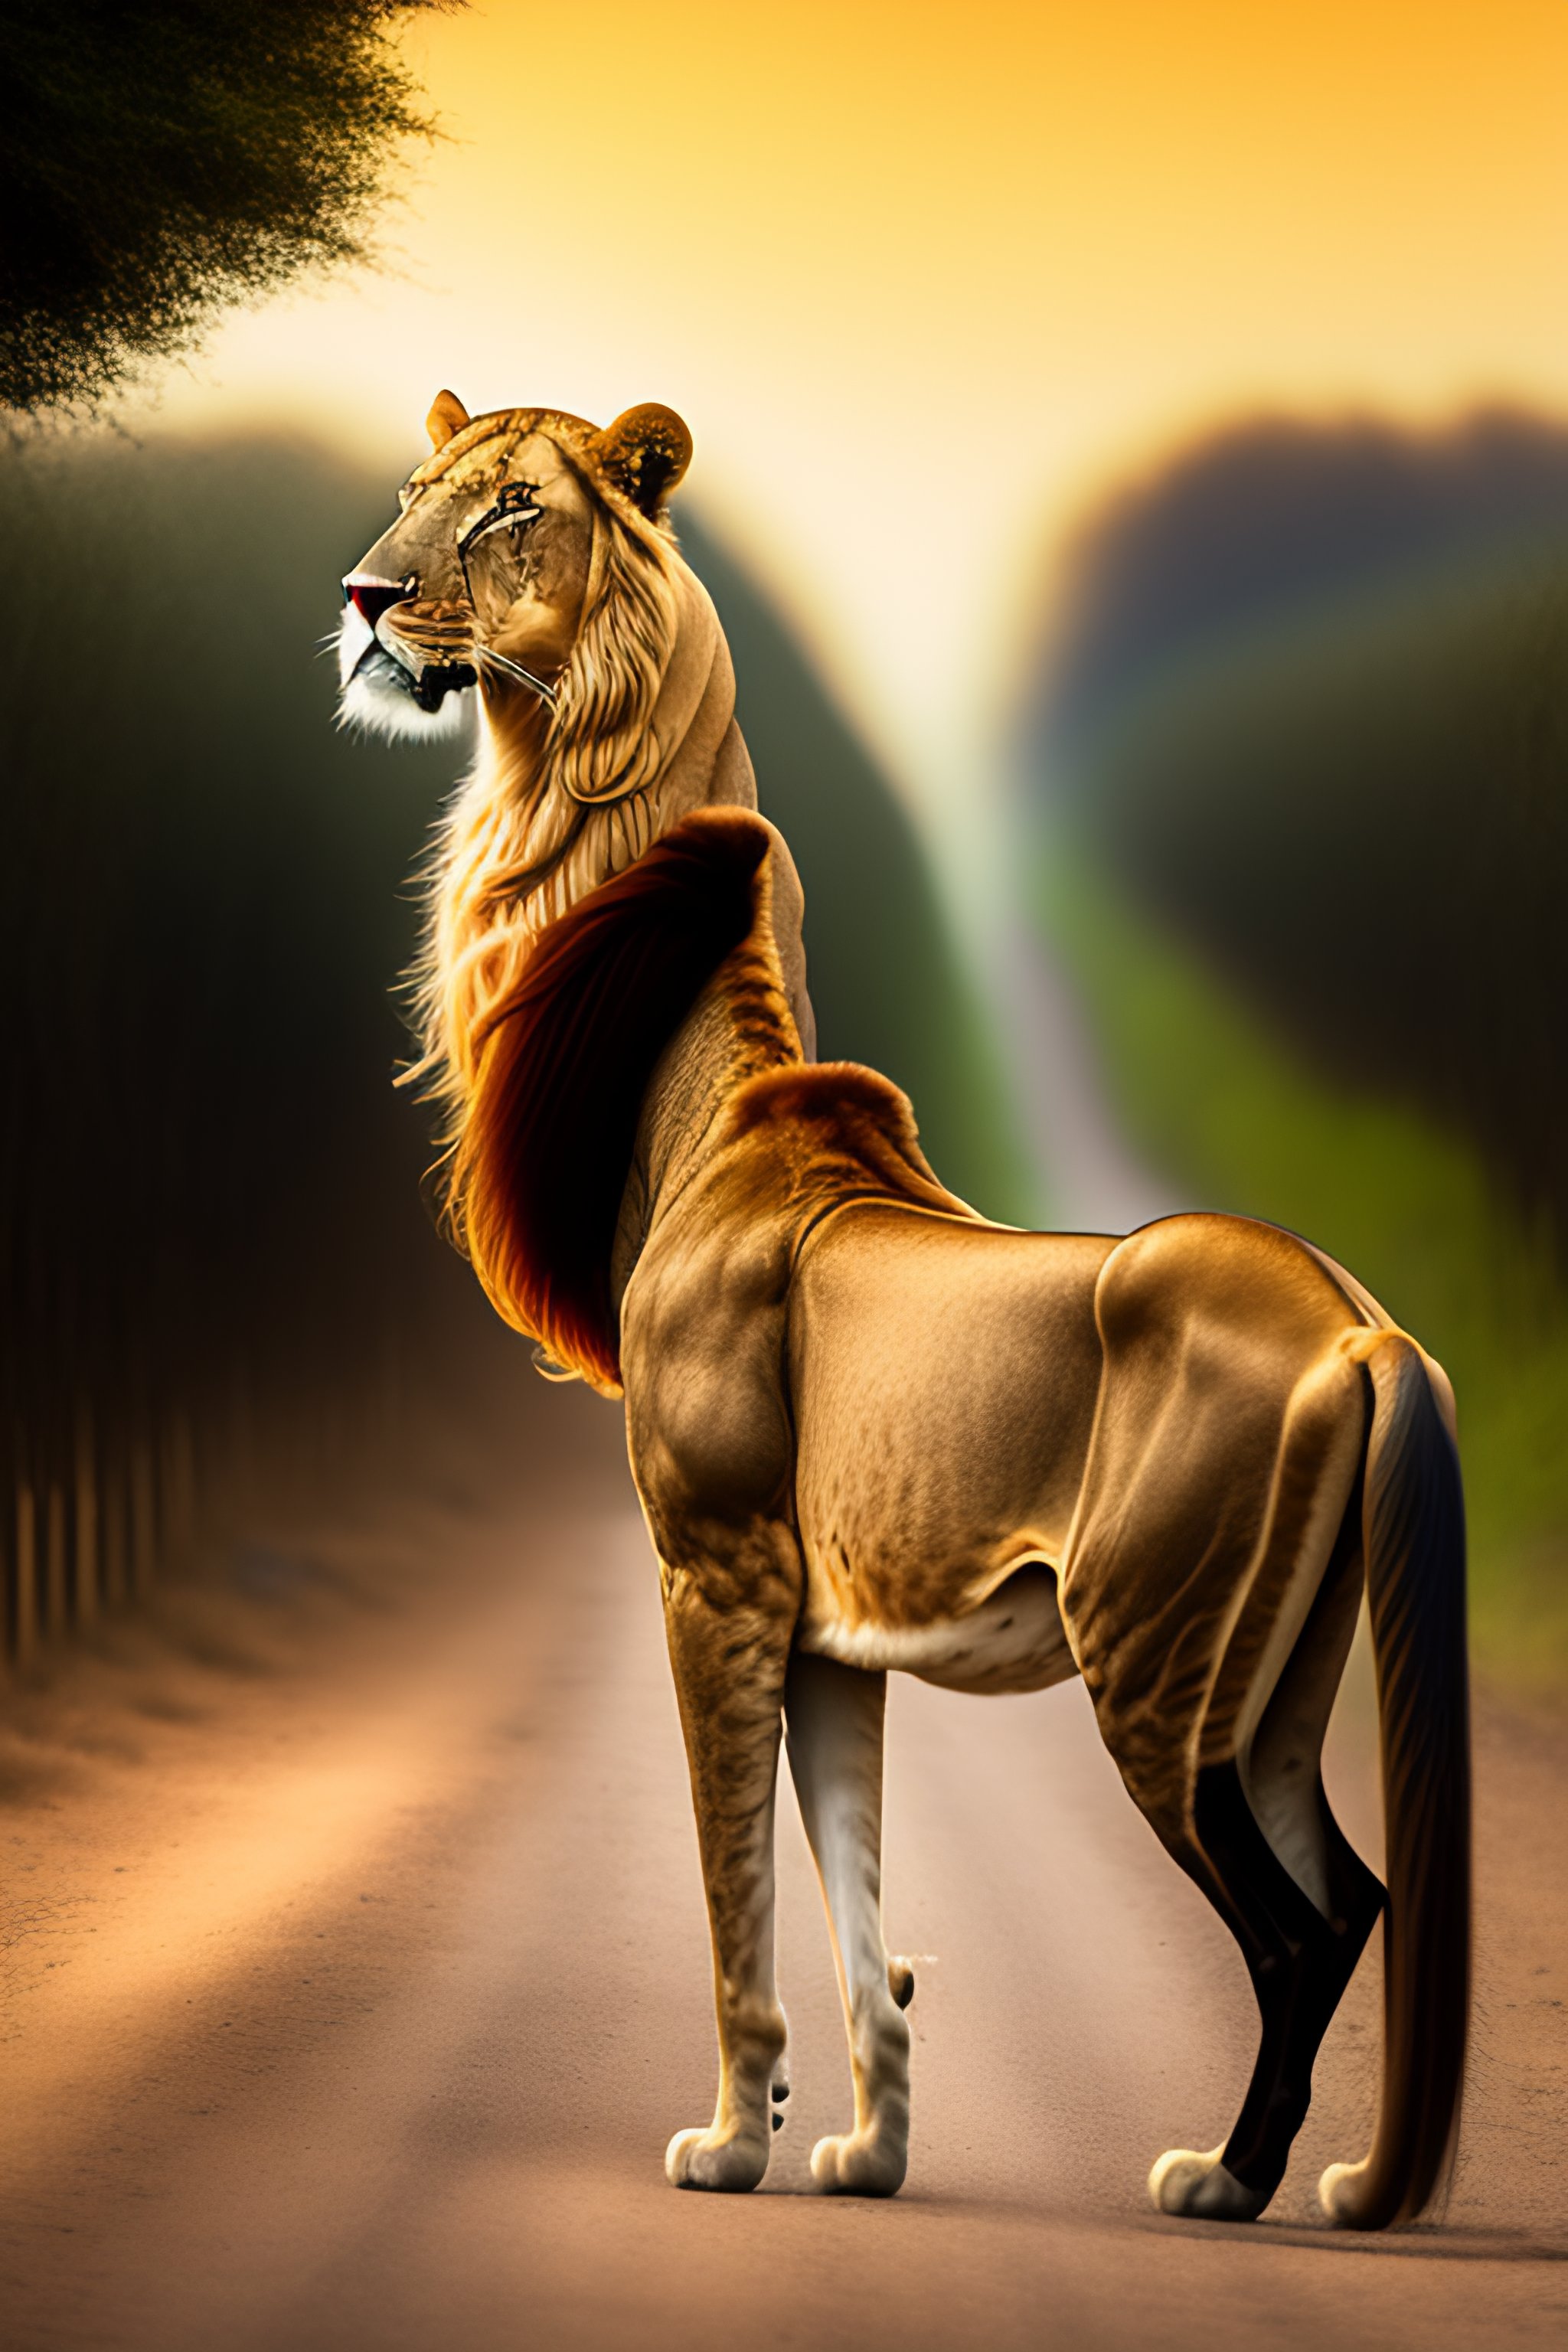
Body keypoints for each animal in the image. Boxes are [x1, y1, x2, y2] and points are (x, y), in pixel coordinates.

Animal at [341, 400, 1469, 2234]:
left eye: (509, 508)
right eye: (408, 495)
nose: (364, 596)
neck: (698, 1103)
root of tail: (1361, 1323)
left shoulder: (714, 1578)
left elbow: (735, 1894)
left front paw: (731, 2143)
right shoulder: (825, 1631)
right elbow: (858, 1900)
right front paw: (867, 2152)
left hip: (1157, 1661)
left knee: (1295, 1931)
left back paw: (1222, 2178)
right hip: (1276, 1684)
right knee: (1358, 1892)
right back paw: (1348, 2184)